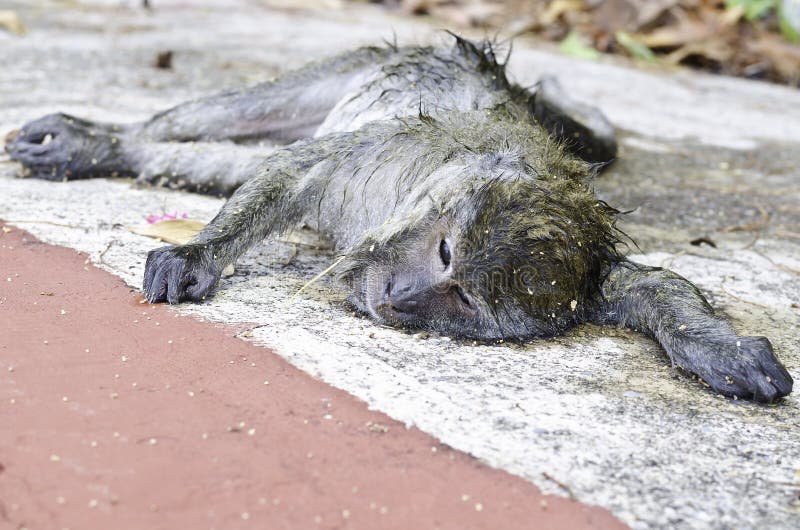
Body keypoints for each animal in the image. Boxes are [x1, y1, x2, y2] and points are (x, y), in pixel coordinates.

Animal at [5, 36, 792, 403]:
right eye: (445, 253)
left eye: (468, 303)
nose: (400, 298)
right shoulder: (391, 149)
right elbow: (298, 171)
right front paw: (201, 252)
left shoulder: (595, 277)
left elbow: (658, 288)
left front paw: (717, 348)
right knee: (200, 124)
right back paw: (107, 139)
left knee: (217, 158)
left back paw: (104, 148)